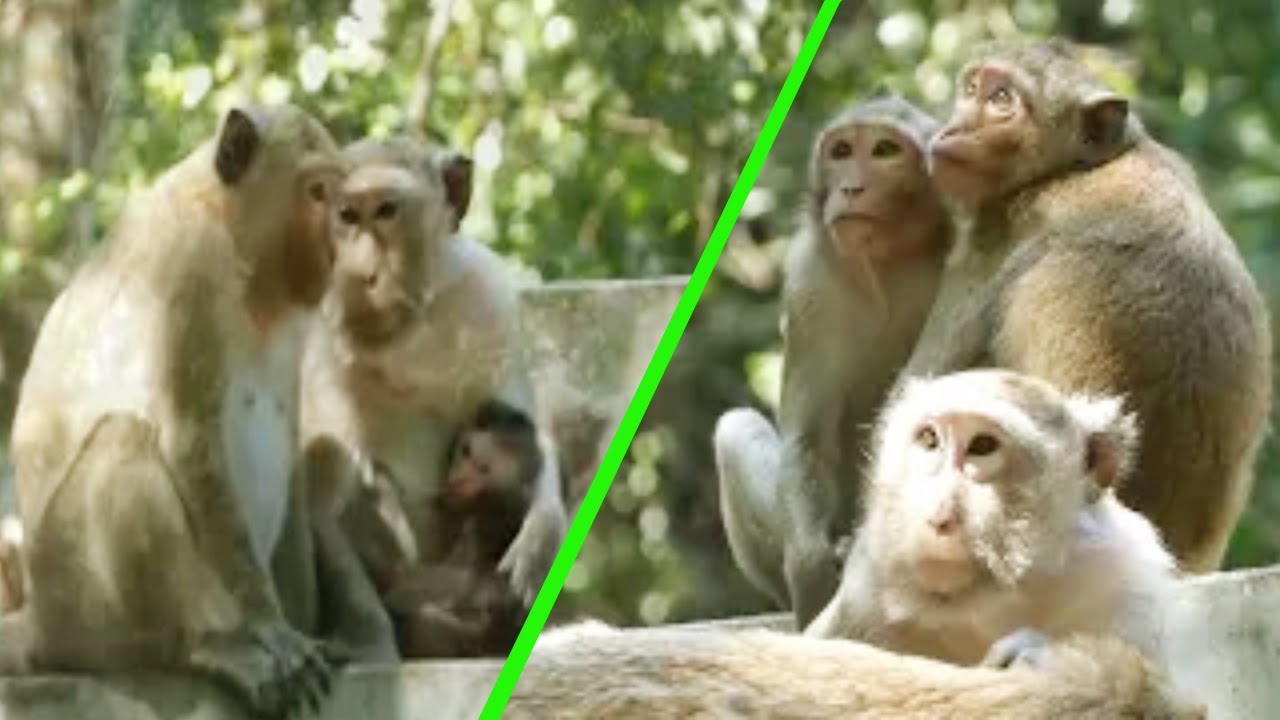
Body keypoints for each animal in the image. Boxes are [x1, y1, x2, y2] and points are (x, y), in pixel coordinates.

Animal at [2, 104, 349, 718]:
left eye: (337, 193)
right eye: (317, 191)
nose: (337, 234)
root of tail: (41, 625)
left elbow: (287, 440)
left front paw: (301, 625)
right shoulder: (190, 270)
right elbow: (193, 443)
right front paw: (274, 628)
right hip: (82, 606)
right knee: (124, 443)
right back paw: (206, 646)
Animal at [300, 135, 567, 627]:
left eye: (386, 210)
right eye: (347, 215)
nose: (359, 272)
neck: (409, 327)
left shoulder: (490, 298)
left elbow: (519, 419)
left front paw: (543, 528)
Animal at [714, 96, 951, 623]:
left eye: (885, 150)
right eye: (842, 151)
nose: (850, 187)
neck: (886, 264)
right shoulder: (810, 286)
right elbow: (808, 437)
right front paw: (812, 573)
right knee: (734, 430)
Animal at [804, 369, 1177, 670]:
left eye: (982, 445)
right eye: (929, 439)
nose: (938, 514)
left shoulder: (1125, 580)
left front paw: (1035, 653)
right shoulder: (862, 594)